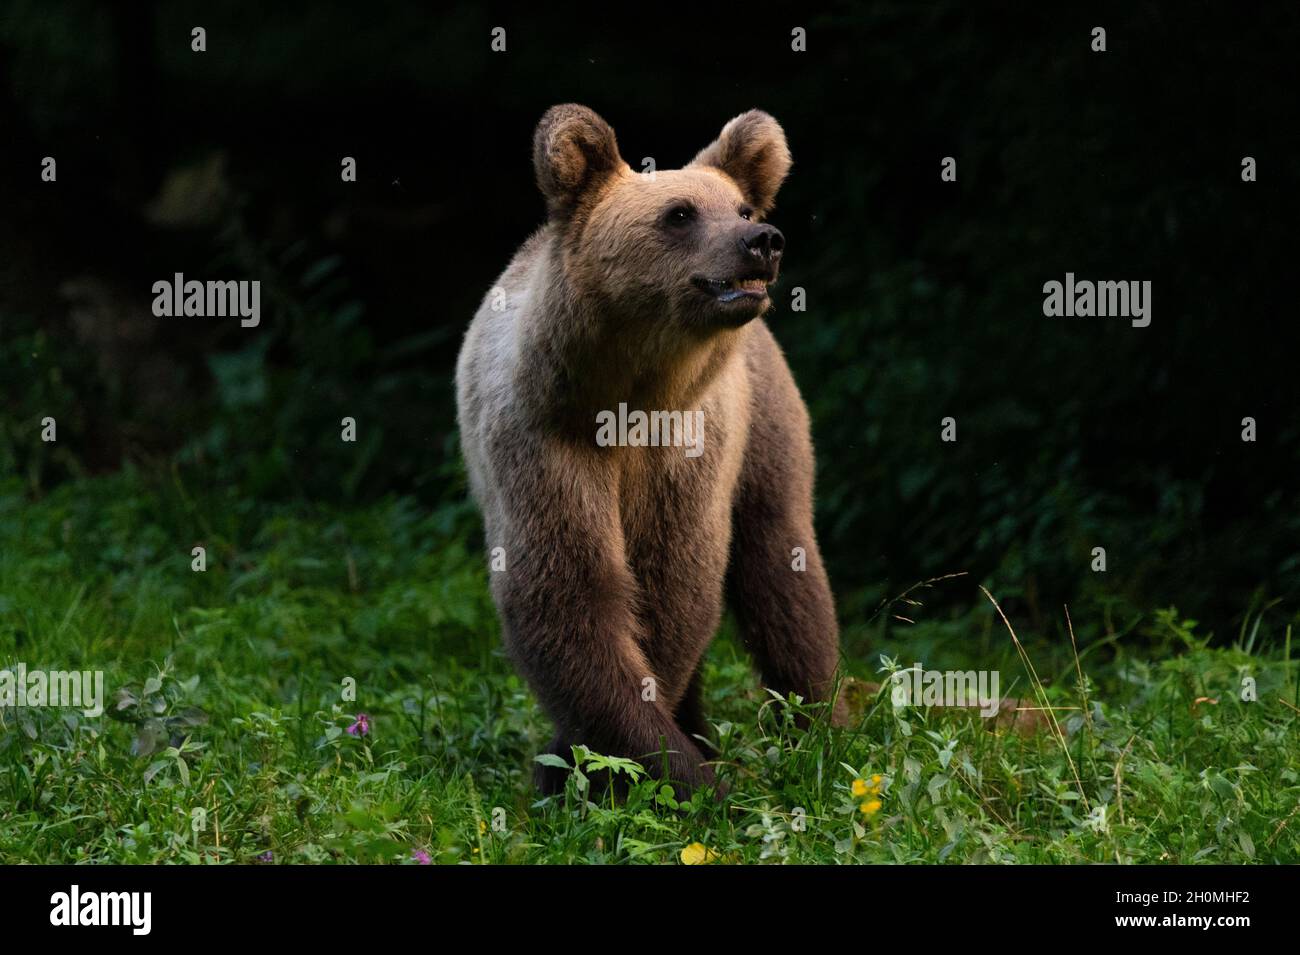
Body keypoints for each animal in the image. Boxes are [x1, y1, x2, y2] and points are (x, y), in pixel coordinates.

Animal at [455, 104, 844, 794]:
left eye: (741, 207)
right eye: (681, 213)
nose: (762, 239)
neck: (631, 393)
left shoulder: (689, 445)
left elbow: (673, 585)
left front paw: (630, 766)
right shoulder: (542, 441)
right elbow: (568, 586)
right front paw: (631, 764)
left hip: (766, 425)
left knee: (784, 570)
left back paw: (825, 725)